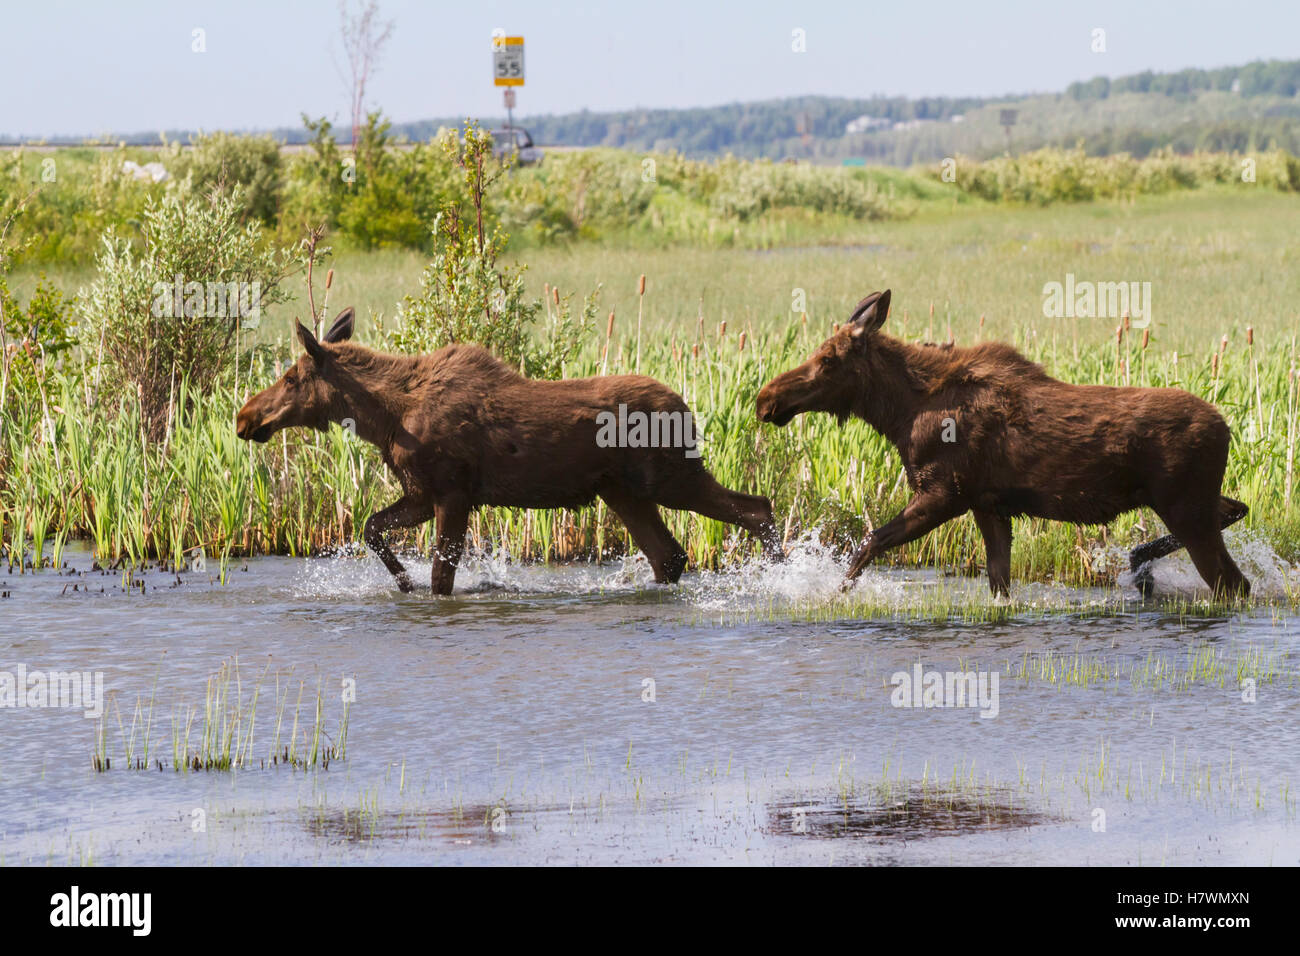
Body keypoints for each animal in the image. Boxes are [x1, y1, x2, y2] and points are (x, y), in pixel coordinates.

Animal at [235, 309, 780, 594]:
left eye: (291, 377)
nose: (244, 417)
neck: (384, 419)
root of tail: (686, 405)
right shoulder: (422, 493)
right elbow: (370, 527)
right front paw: (403, 581)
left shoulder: (453, 492)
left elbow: (442, 574)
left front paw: (414, 582)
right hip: (622, 492)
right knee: (669, 555)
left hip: (670, 476)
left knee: (757, 507)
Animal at [755, 290, 1250, 599]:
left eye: (827, 359)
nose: (765, 399)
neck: (898, 414)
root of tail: (1227, 427)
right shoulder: (988, 504)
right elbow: (999, 583)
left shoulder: (943, 494)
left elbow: (870, 544)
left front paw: (829, 594)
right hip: (1188, 500)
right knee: (1236, 510)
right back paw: (1140, 562)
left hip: (1183, 504)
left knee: (1234, 583)